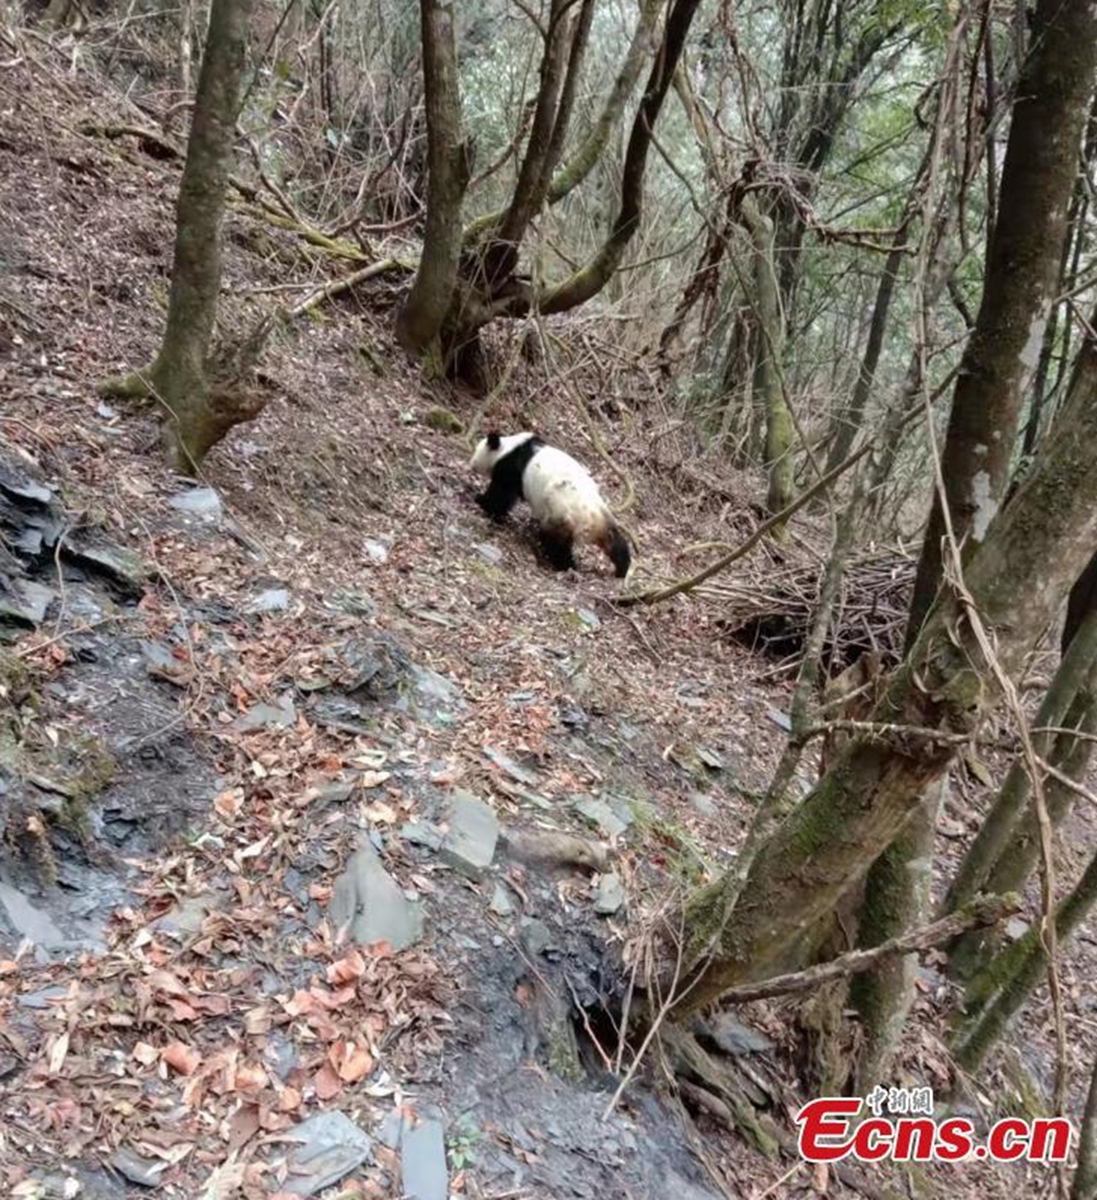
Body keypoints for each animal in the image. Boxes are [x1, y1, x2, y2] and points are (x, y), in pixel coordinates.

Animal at [469, 431, 631, 579]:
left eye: (476, 451)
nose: (471, 465)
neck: (507, 448)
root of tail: (592, 519)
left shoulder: (511, 467)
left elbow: (502, 493)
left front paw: (481, 501)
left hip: (562, 512)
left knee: (556, 542)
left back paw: (563, 564)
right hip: (602, 519)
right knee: (615, 543)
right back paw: (622, 568)